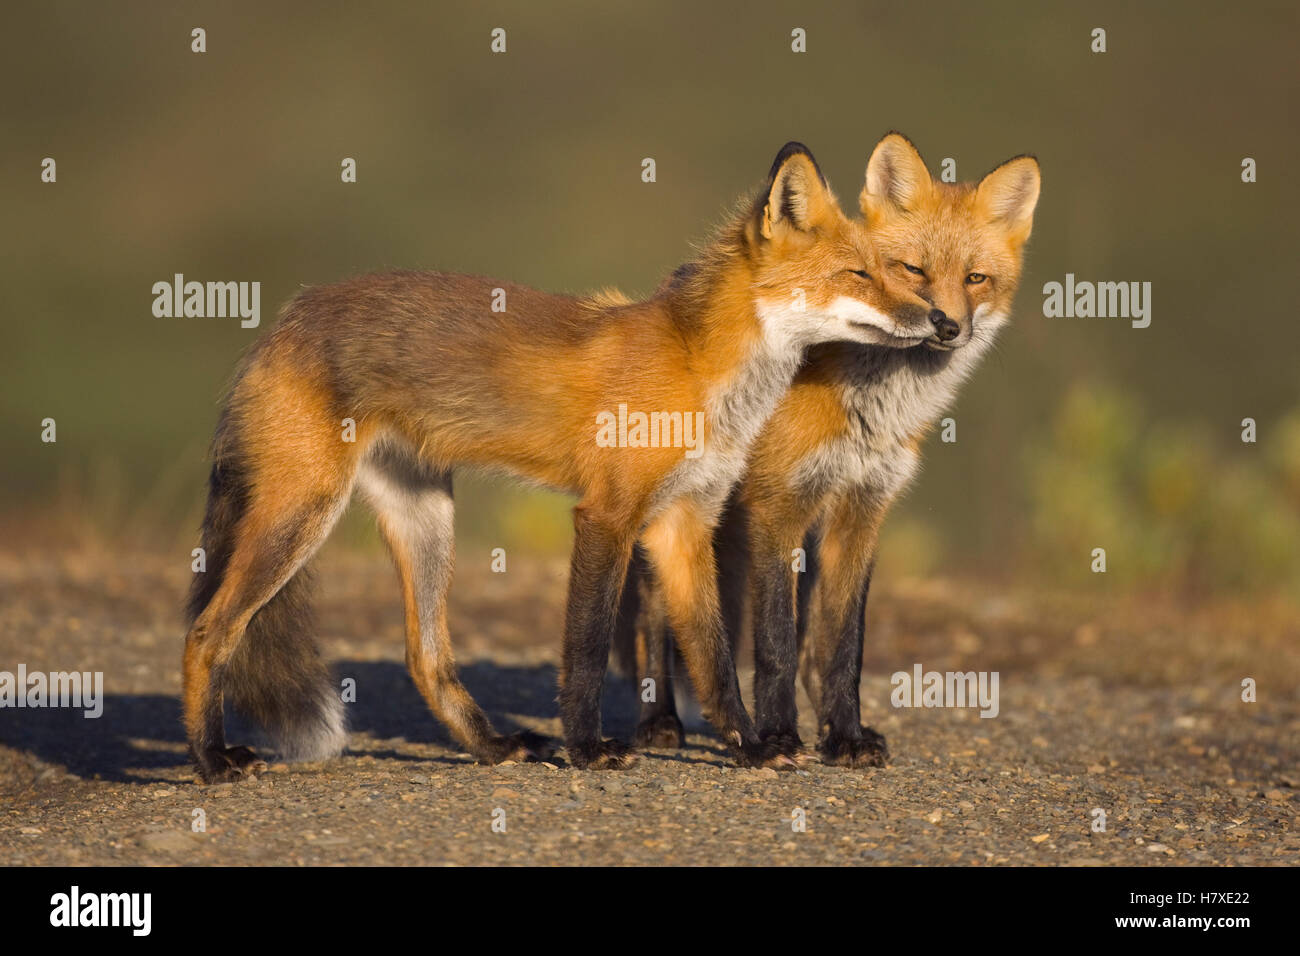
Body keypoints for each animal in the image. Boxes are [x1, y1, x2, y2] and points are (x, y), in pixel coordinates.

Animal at [180, 141, 941, 782]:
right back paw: (212, 761)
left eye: (897, 269)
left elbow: (715, 658)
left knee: (425, 660)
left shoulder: (685, 519)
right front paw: (587, 748)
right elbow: (587, 645)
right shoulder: (607, 514)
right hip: (302, 512)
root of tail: (283, 321)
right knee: (206, 631)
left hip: (424, 518)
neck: (701, 371)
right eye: (860, 273)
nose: (939, 321)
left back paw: (491, 747)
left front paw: (752, 748)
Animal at [616, 133, 1041, 765]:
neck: (871, 408)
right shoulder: (777, 509)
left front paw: (844, 736)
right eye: (911, 270)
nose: (945, 326)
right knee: (655, 616)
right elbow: (775, 643)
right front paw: (776, 736)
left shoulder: (858, 514)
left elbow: (841, 646)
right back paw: (659, 720)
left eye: (976, 279)